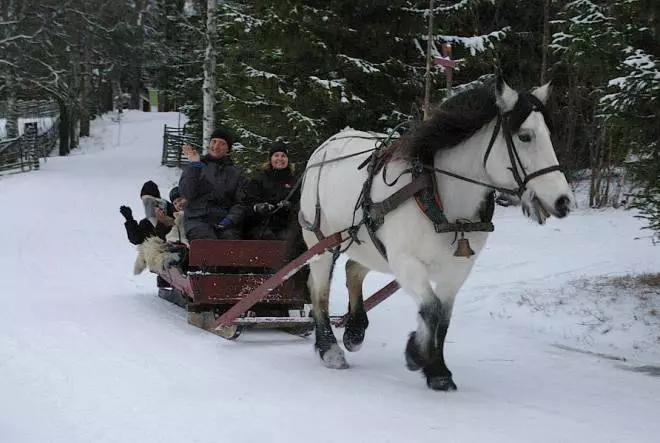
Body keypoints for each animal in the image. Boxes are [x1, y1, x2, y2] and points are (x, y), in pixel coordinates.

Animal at [288, 77, 572, 392]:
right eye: (524, 136)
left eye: (548, 134)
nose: (564, 201)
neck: (439, 195)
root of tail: (326, 145)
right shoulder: (405, 261)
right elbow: (432, 309)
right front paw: (419, 355)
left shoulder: (458, 269)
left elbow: (444, 318)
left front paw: (437, 369)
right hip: (321, 242)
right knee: (319, 289)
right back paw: (330, 348)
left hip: (367, 241)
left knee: (353, 269)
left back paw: (354, 331)